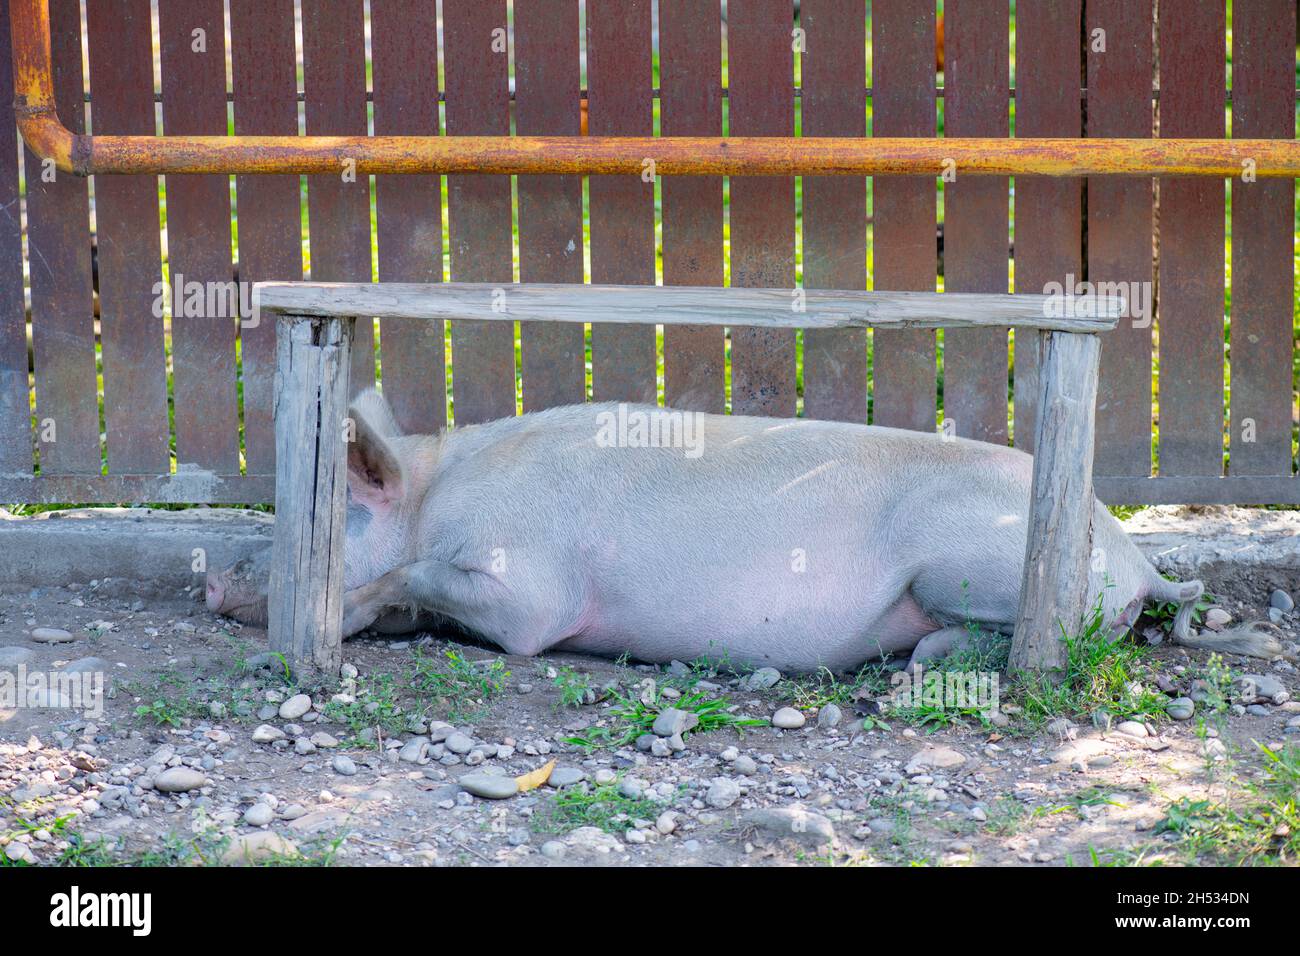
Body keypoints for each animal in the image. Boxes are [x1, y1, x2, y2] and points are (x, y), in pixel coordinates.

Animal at [206, 388, 1286, 672]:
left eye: (326, 517)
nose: (212, 580)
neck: (438, 491)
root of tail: (1138, 558)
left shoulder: (526, 591)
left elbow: (437, 585)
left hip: (970, 562)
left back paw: (920, 664)